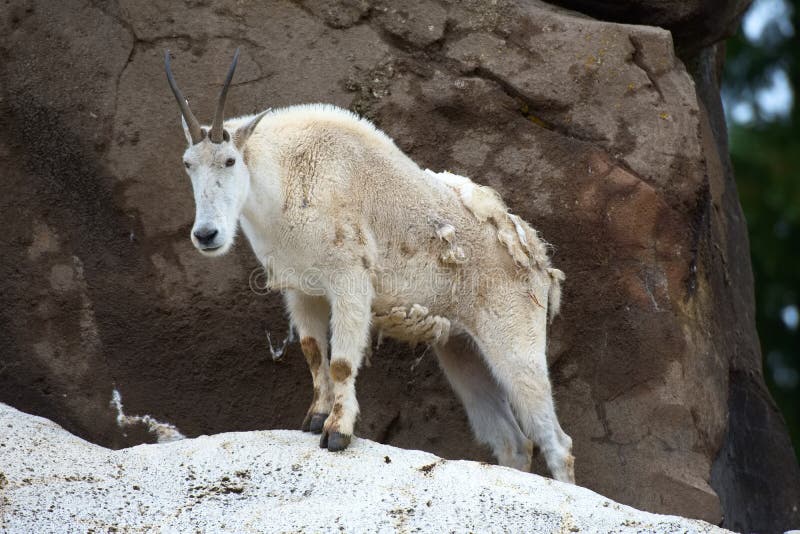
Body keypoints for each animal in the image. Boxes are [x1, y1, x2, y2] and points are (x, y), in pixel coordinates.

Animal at [164, 49, 575, 483]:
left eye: (229, 160)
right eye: (188, 164)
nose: (206, 234)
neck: (287, 181)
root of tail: (538, 262)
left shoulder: (350, 283)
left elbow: (343, 362)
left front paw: (337, 433)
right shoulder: (301, 290)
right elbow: (313, 352)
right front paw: (315, 418)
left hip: (515, 343)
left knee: (556, 442)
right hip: (463, 351)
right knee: (513, 442)